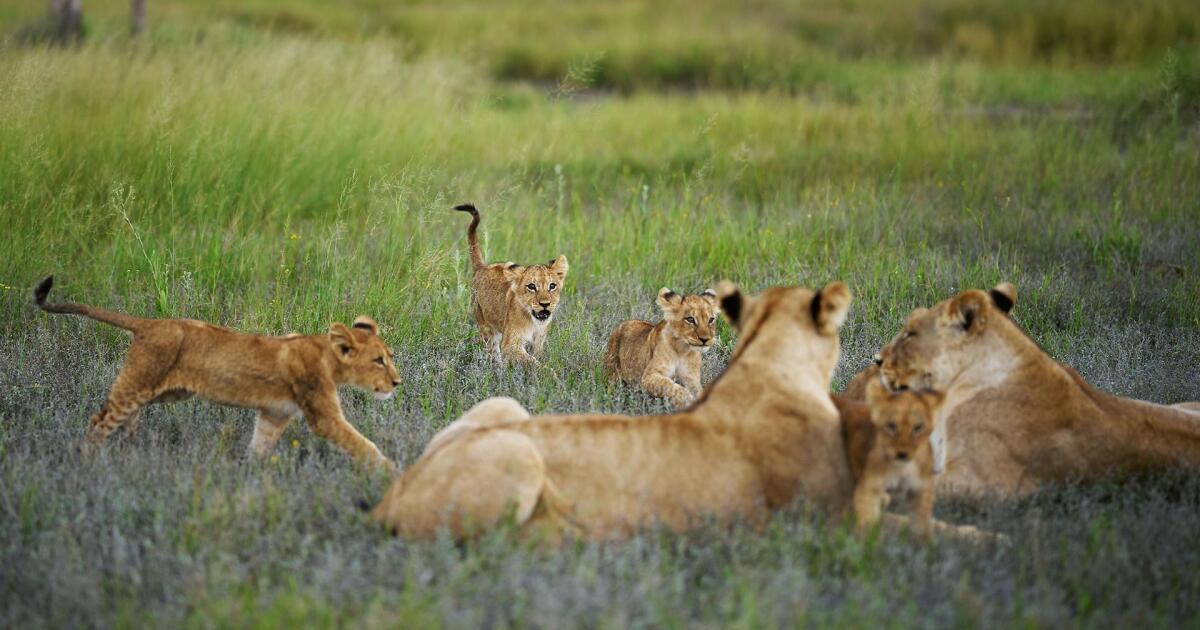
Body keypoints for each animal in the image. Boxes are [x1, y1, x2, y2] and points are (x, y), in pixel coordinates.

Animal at [33, 276, 399, 470]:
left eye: (390, 357)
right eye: (378, 360)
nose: (397, 382)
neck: (328, 357)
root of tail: (149, 323)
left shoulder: (275, 414)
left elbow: (259, 447)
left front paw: (250, 477)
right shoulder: (324, 417)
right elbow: (363, 445)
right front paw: (392, 475)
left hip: (163, 390)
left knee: (123, 417)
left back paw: (129, 451)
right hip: (140, 383)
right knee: (100, 421)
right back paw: (88, 461)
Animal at [454, 203, 569, 365]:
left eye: (552, 286)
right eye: (531, 286)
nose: (545, 304)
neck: (534, 323)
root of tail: (483, 267)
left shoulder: (539, 342)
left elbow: (536, 357)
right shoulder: (510, 343)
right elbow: (532, 361)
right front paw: (548, 371)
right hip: (486, 328)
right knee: (492, 351)